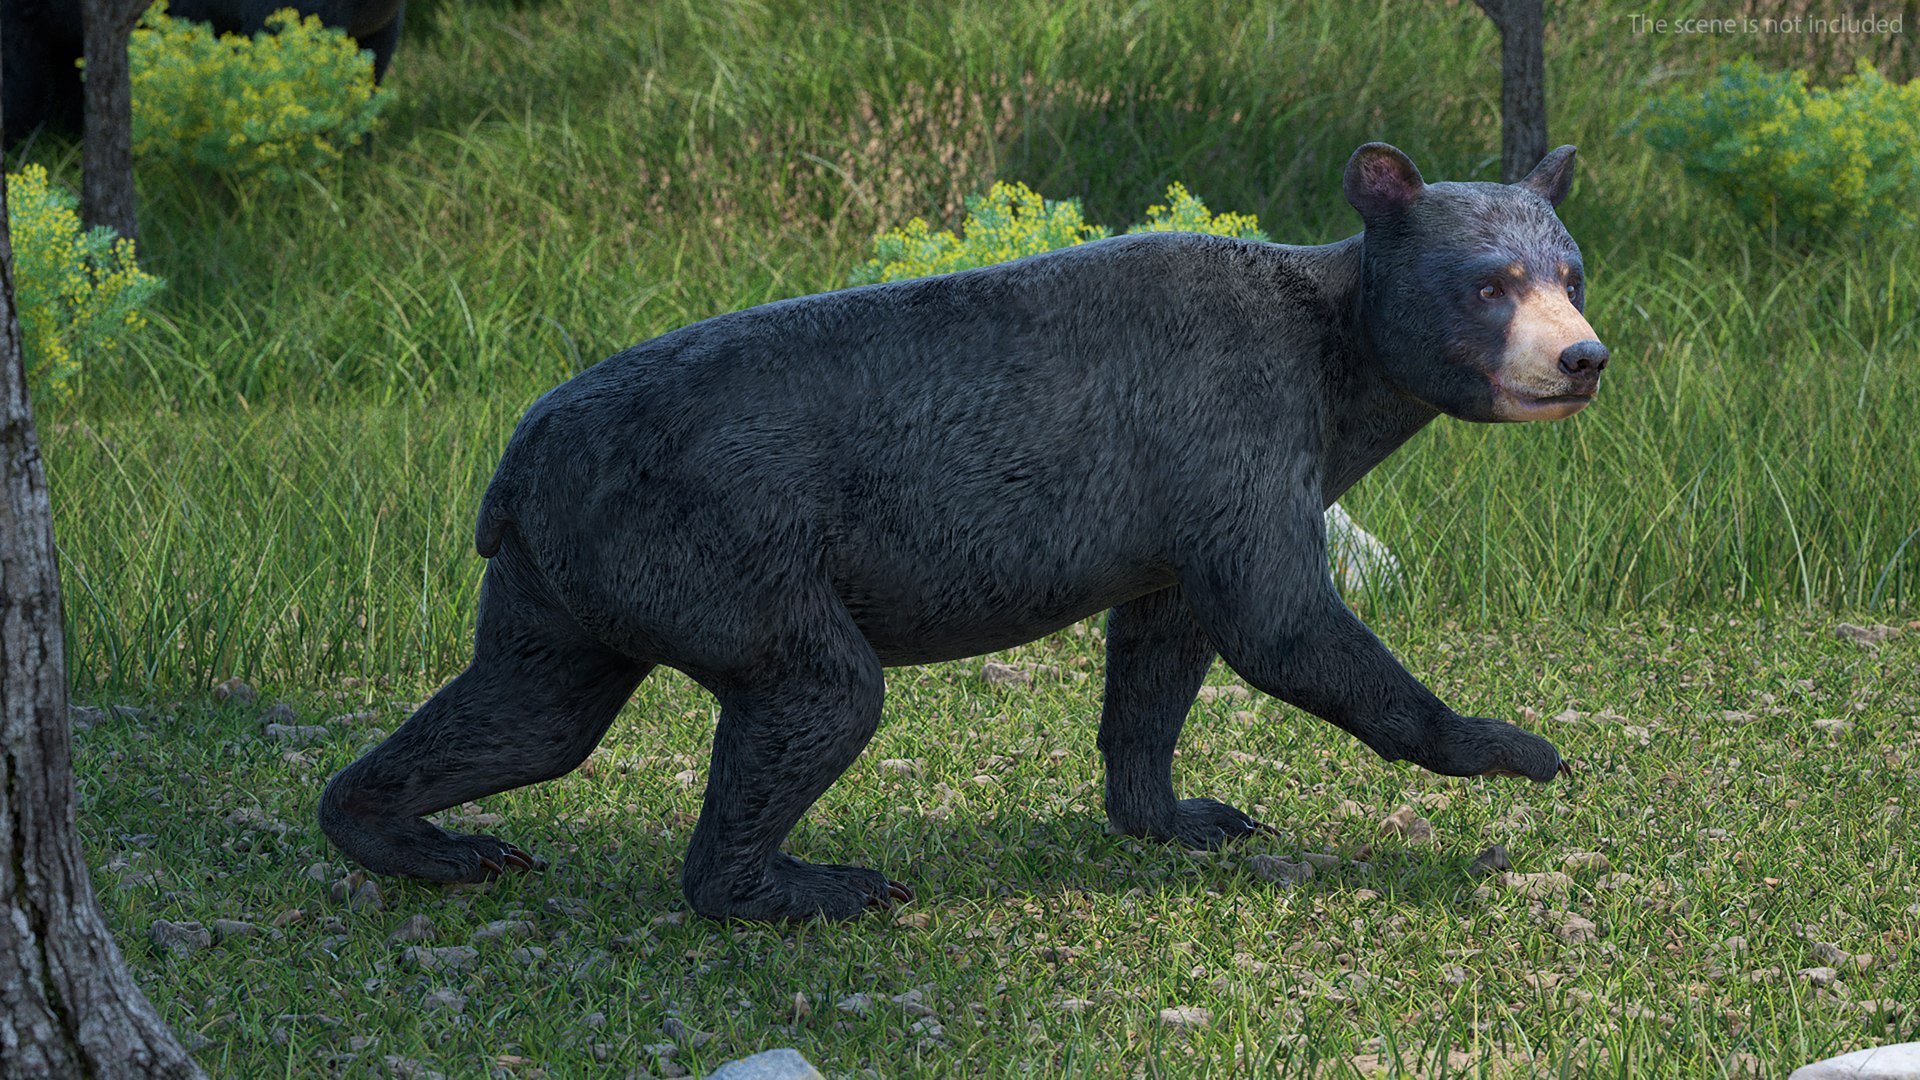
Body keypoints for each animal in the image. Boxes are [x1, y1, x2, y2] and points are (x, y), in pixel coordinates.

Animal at [319, 142, 1607, 922]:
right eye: (1490, 283)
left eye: (1572, 270)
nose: (1582, 358)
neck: (1338, 367)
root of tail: (517, 456)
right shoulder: (1233, 426)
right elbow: (1282, 625)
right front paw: (1513, 747)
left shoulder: (1182, 498)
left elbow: (1163, 652)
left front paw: (1179, 812)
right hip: (711, 542)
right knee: (818, 693)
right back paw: (808, 883)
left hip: (572, 576)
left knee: (530, 713)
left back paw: (412, 833)